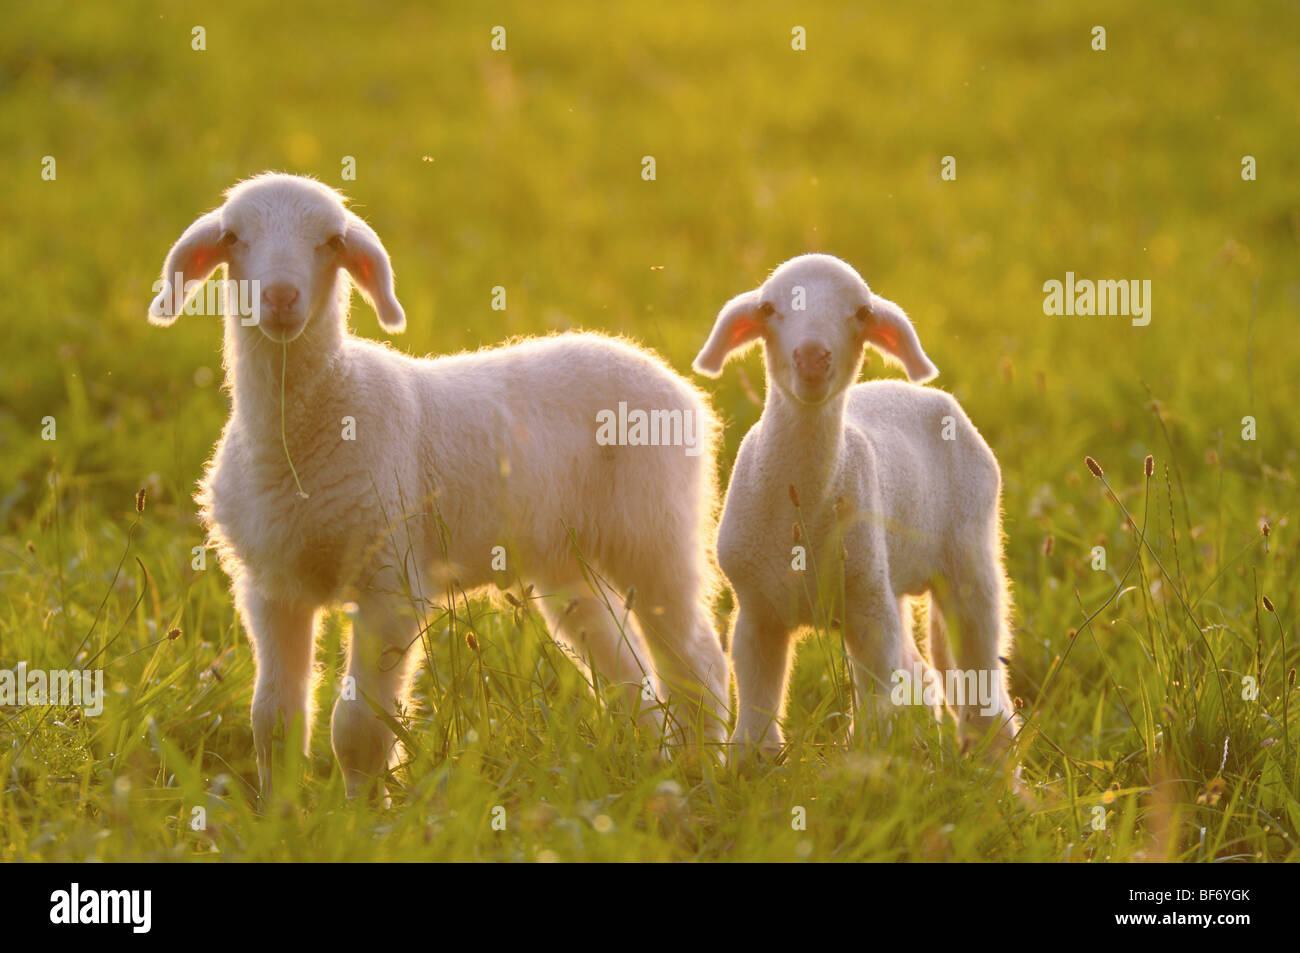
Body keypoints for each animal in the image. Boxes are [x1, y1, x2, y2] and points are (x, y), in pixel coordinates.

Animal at [147, 172, 729, 800]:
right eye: (233, 236)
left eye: (332, 240)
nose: (279, 298)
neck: (304, 436)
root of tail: (675, 382)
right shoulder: (271, 587)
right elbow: (274, 719)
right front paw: (280, 812)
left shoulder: (390, 582)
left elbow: (359, 726)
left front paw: (359, 812)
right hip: (566, 559)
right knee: (626, 667)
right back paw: (652, 763)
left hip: (656, 529)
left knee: (697, 657)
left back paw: (704, 767)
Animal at [693, 253, 1019, 761]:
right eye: (767, 308)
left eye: (862, 314)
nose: (811, 358)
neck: (803, 514)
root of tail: (926, 394)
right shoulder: (757, 609)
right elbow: (757, 706)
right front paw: (751, 763)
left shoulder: (867, 613)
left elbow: (877, 704)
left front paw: (866, 760)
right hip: (889, 577)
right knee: (921, 672)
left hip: (967, 555)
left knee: (979, 678)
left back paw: (993, 763)